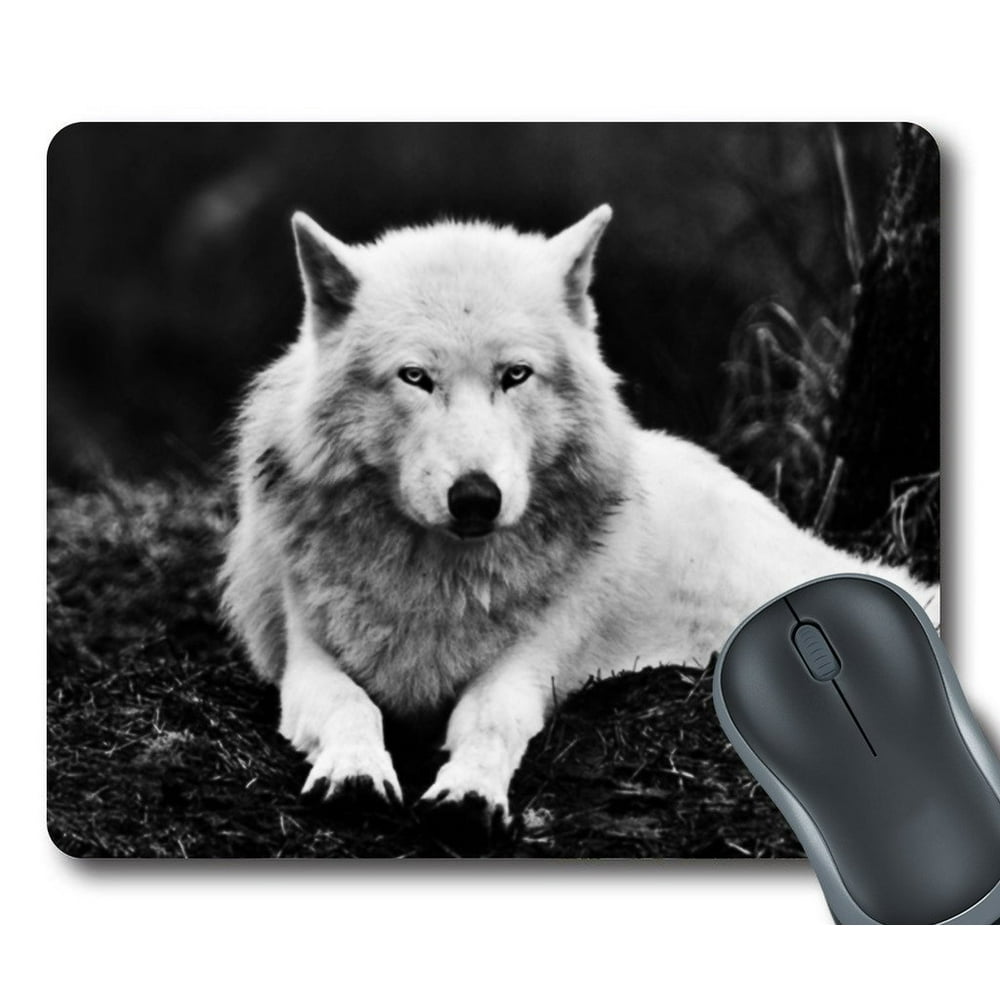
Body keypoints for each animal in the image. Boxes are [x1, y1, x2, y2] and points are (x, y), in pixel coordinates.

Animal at [220, 205, 939, 837]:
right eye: (415, 377)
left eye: (516, 375)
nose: (476, 497)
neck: (439, 581)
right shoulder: (305, 655)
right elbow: (352, 704)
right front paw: (356, 773)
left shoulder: (531, 660)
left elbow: (490, 718)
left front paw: (468, 794)